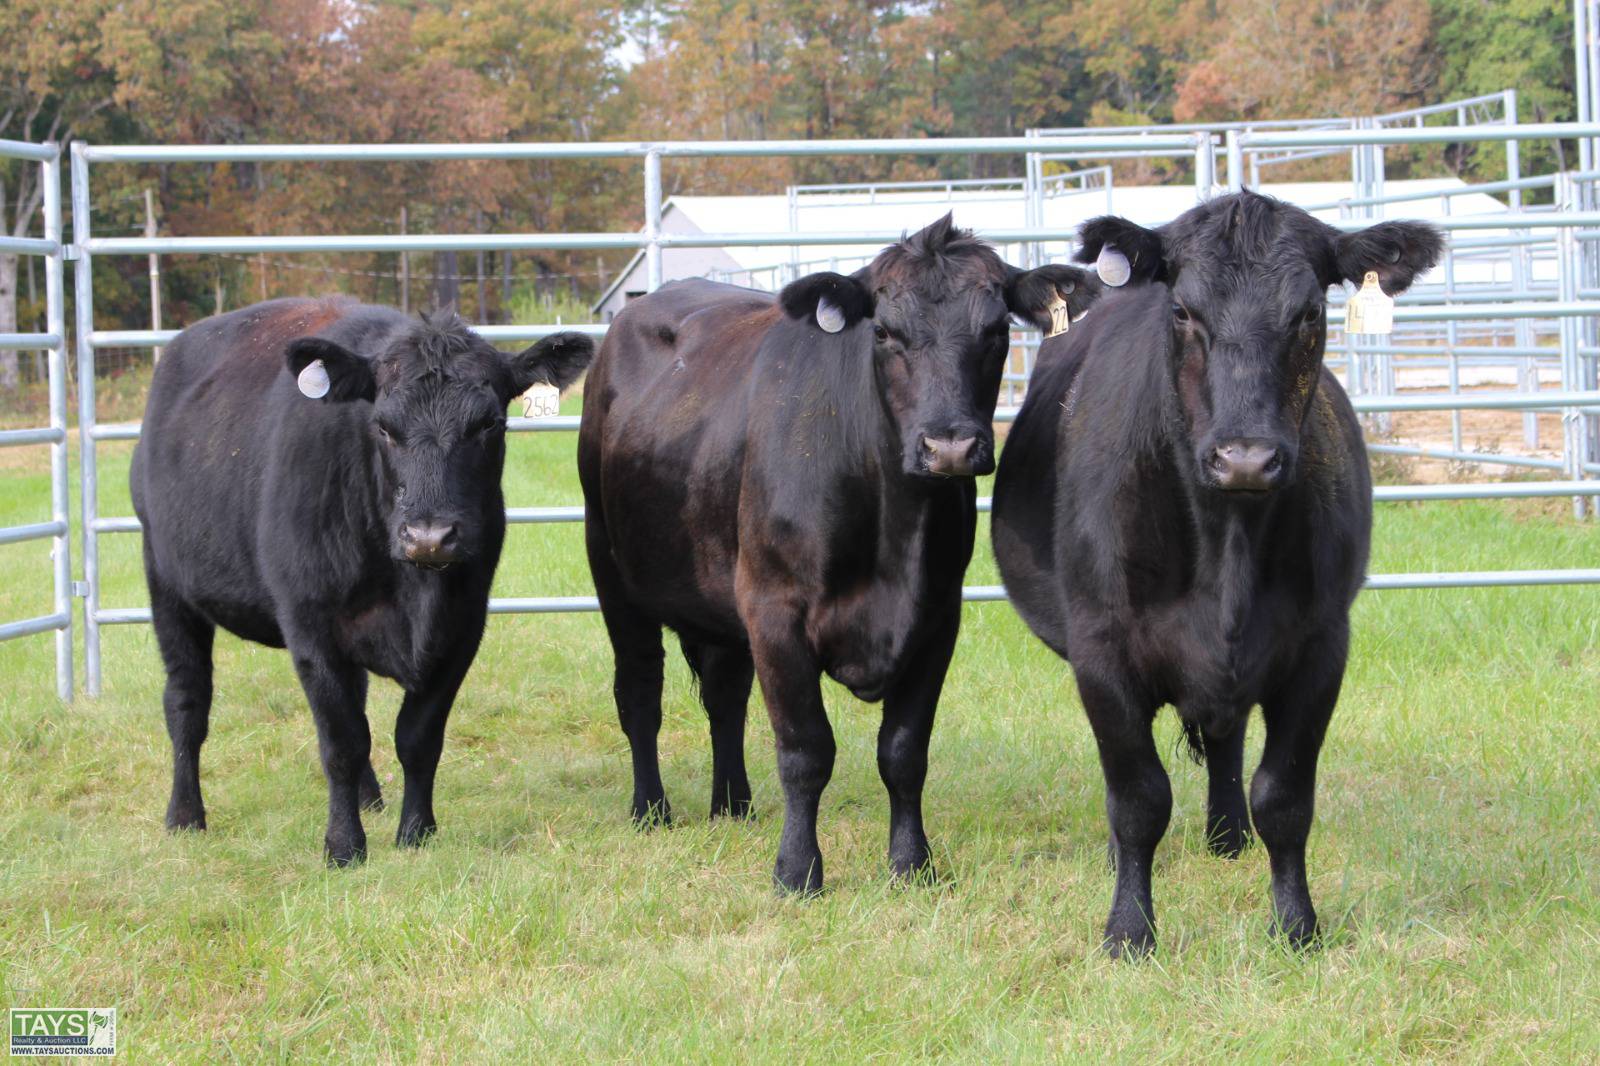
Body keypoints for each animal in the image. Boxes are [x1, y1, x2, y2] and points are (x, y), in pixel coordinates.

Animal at [131, 297, 594, 865]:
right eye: (384, 427)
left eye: (489, 424)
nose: (429, 537)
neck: (413, 592)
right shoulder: (310, 626)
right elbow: (341, 743)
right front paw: (343, 845)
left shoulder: (463, 625)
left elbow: (416, 737)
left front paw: (416, 833)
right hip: (166, 583)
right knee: (186, 701)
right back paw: (185, 816)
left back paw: (370, 798)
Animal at [579, 215, 1102, 893]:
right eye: (883, 331)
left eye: (995, 331)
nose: (950, 448)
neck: (894, 535)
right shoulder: (775, 612)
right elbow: (806, 749)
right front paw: (798, 871)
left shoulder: (937, 620)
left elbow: (903, 752)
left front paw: (912, 862)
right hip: (613, 573)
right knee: (640, 692)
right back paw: (652, 809)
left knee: (724, 696)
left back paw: (734, 806)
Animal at [992, 191, 1441, 956]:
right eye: (1182, 310)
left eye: (1310, 313)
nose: (1245, 458)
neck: (1225, 546)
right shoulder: (1101, 650)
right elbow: (1138, 798)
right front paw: (1129, 931)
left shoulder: (1321, 647)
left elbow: (1284, 798)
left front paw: (1296, 926)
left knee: (1227, 739)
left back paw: (1228, 838)